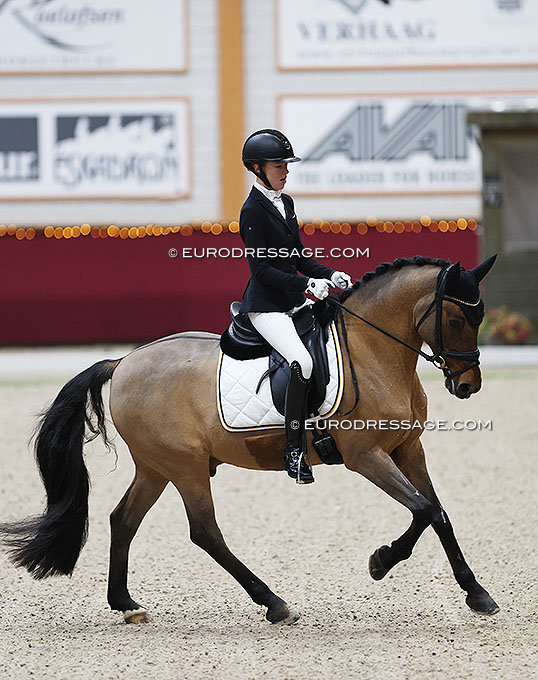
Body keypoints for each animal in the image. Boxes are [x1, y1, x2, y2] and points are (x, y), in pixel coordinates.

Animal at [0, 255, 500, 625]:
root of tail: (123, 362)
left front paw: (476, 593)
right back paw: (274, 603)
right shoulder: (367, 456)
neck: (373, 352)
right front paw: (382, 561)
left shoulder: (407, 449)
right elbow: (423, 509)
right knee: (204, 532)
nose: (467, 385)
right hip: (185, 467)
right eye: (457, 317)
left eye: (479, 316)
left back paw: (126, 604)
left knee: (123, 519)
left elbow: (438, 512)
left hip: (156, 468)